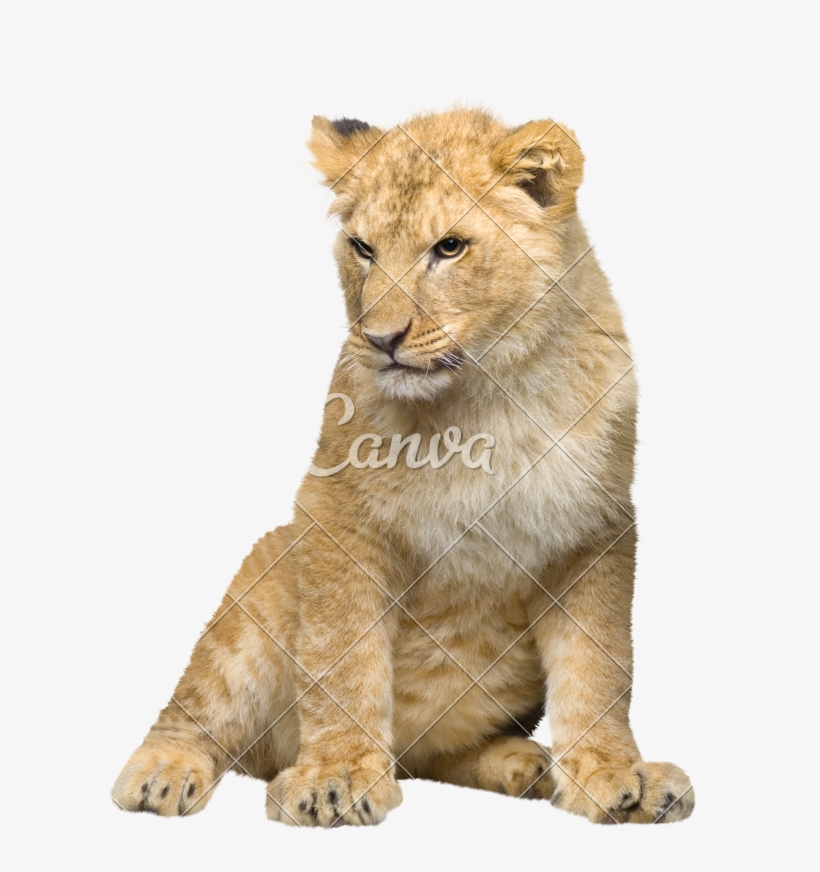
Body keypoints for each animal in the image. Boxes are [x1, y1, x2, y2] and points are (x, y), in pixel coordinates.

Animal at [112, 108, 694, 826]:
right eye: (363, 248)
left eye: (449, 247)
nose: (382, 339)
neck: (485, 394)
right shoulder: (334, 513)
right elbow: (342, 652)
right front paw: (334, 777)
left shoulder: (597, 525)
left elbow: (600, 662)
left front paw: (617, 774)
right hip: (263, 582)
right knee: (198, 706)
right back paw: (161, 774)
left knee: (433, 758)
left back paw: (520, 764)